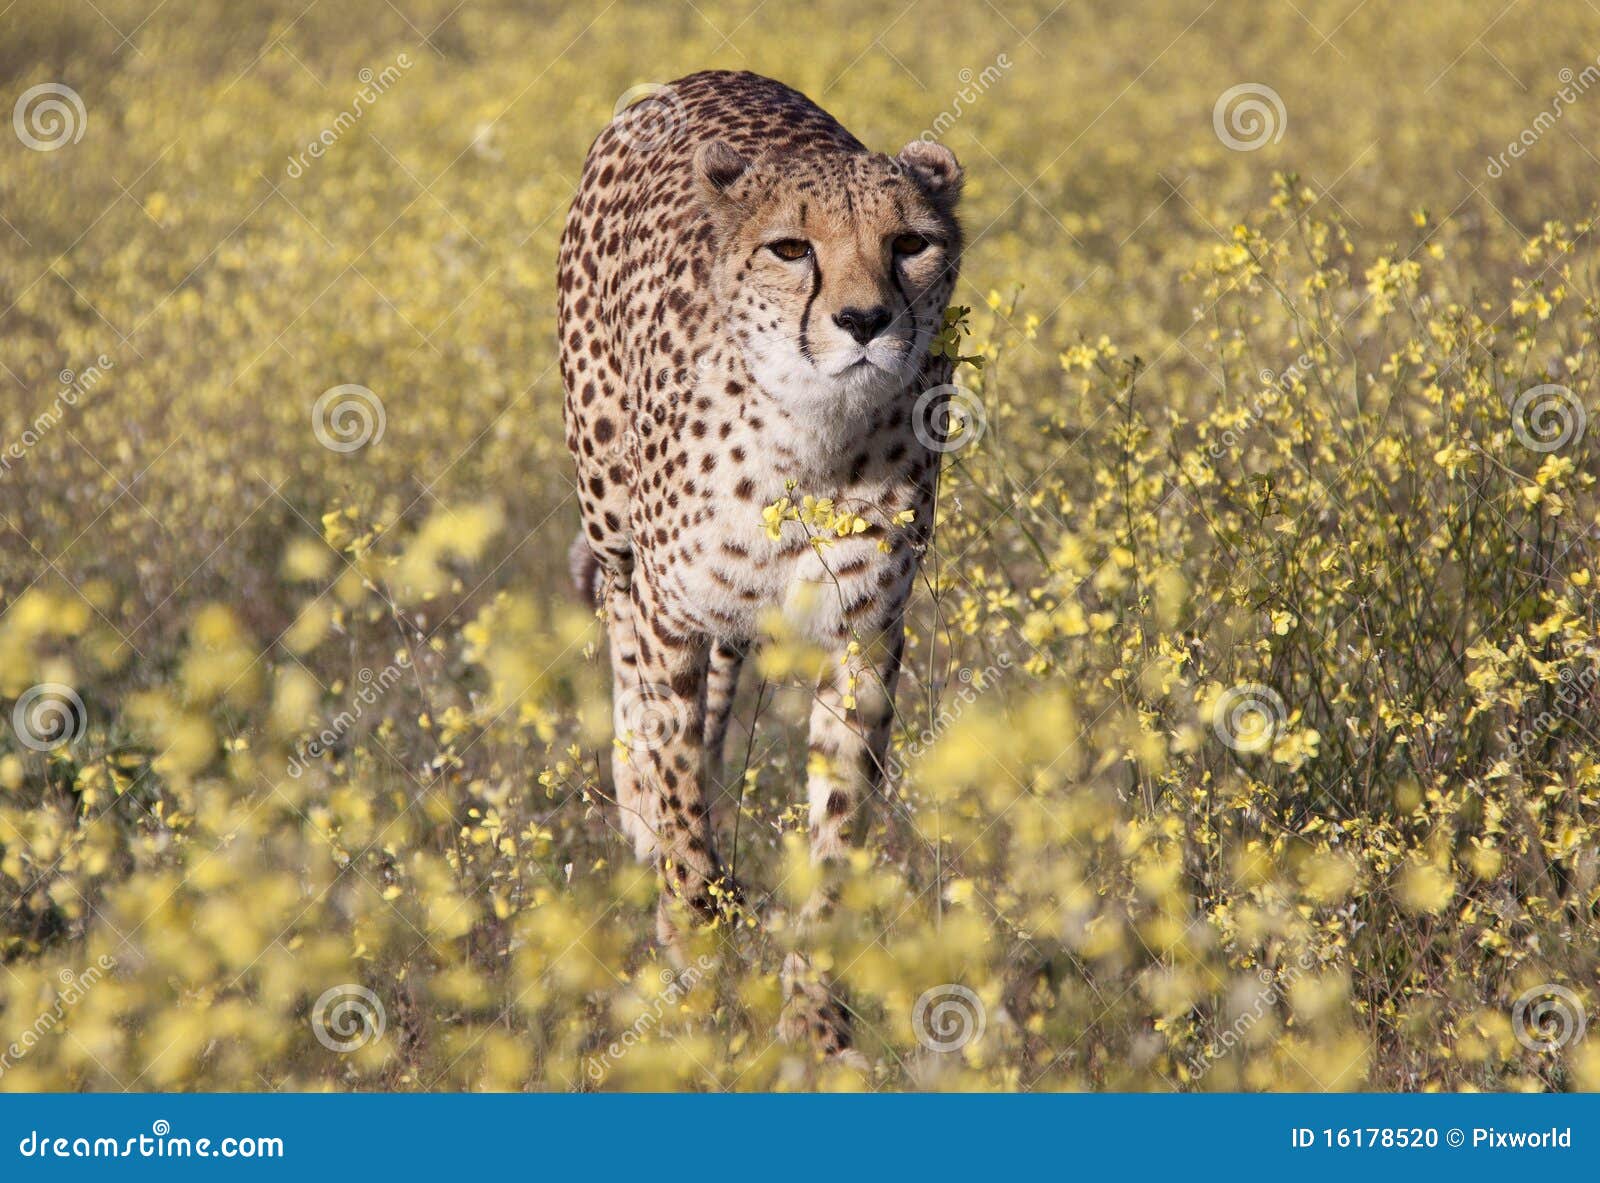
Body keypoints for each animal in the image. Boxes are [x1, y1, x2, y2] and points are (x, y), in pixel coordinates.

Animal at [558, 68, 963, 1057]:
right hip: (613, 516)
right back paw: (639, 815)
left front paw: (816, 1024)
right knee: (625, 645)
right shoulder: (672, 609)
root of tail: (701, 76)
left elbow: (837, 831)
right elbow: (674, 777)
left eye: (909, 243)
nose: (864, 320)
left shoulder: (865, 634)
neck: (810, 429)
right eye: (791, 249)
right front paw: (695, 946)